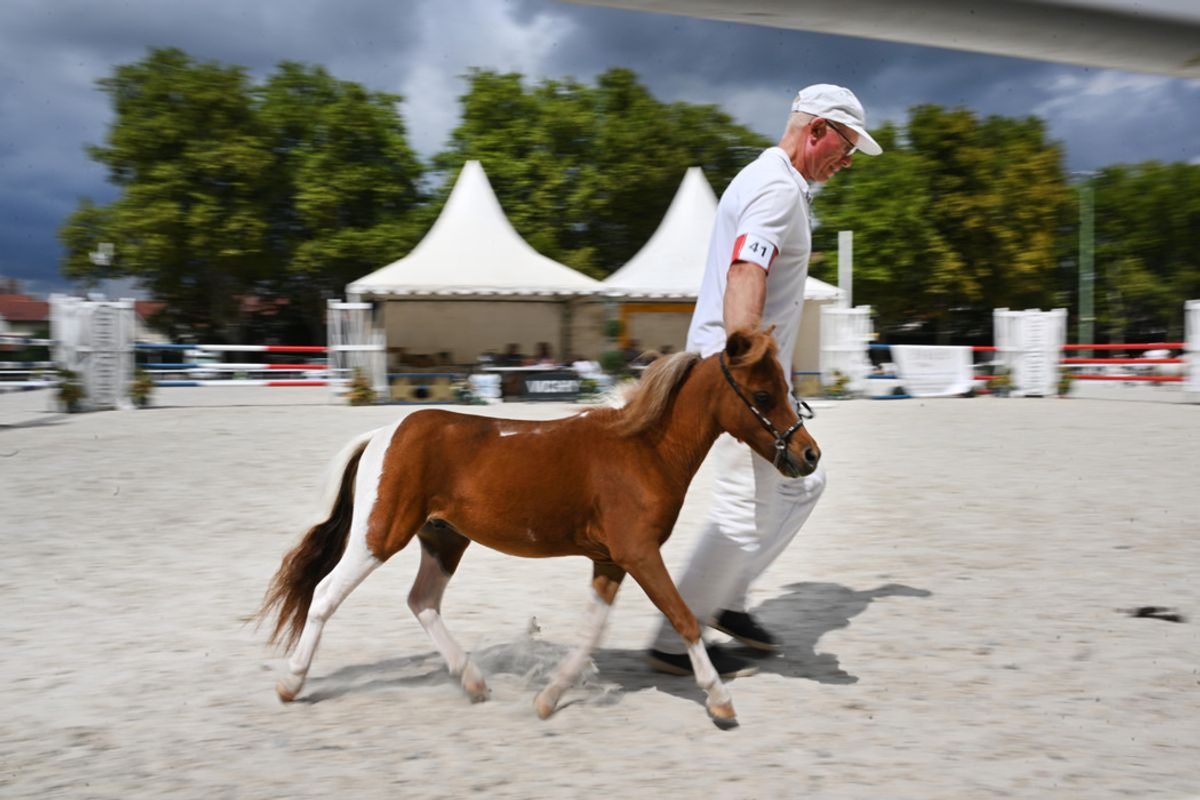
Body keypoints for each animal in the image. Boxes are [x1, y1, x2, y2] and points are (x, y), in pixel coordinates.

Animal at [257, 327, 821, 725]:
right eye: (763, 395)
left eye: (786, 387)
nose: (808, 454)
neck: (643, 448)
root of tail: (383, 432)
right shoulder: (638, 553)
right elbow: (682, 617)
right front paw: (720, 701)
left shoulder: (610, 560)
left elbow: (591, 631)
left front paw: (549, 698)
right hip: (381, 535)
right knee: (326, 595)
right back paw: (291, 684)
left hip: (444, 538)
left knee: (423, 601)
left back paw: (474, 681)